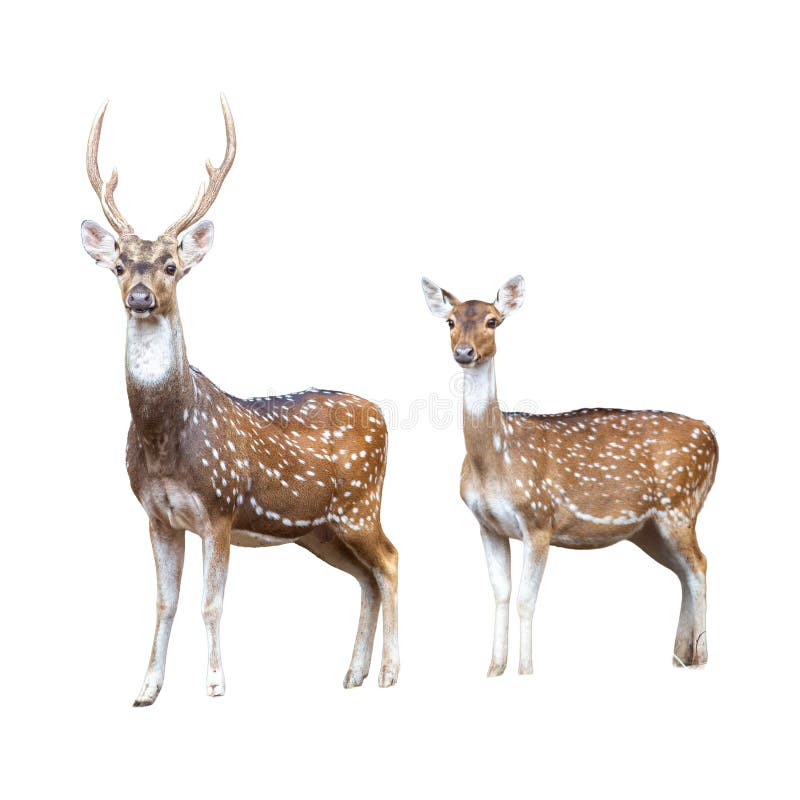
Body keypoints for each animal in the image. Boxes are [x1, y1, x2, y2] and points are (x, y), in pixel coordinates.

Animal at [81, 96, 399, 706]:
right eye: (119, 266)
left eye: (172, 266)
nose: (140, 296)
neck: (166, 442)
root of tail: (381, 415)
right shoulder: (157, 515)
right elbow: (164, 602)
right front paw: (146, 689)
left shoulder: (220, 506)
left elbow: (210, 603)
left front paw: (214, 684)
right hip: (321, 530)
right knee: (367, 578)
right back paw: (353, 674)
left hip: (360, 504)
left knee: (391, 562)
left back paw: (391, 673)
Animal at [421, 275, 717, 675]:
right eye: (450, 322)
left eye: (492, 321)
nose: (465, 352)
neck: (495, 460)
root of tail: (711, 434)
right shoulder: (488, 525)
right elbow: (501, 595)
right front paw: (494, 670)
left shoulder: (538, 517)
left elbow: (525, 601)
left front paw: (525, 671)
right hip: (648, 528)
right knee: (684, 572)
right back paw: (679, 657)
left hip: (680, 506)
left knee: (700, 565)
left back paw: (699, 658)